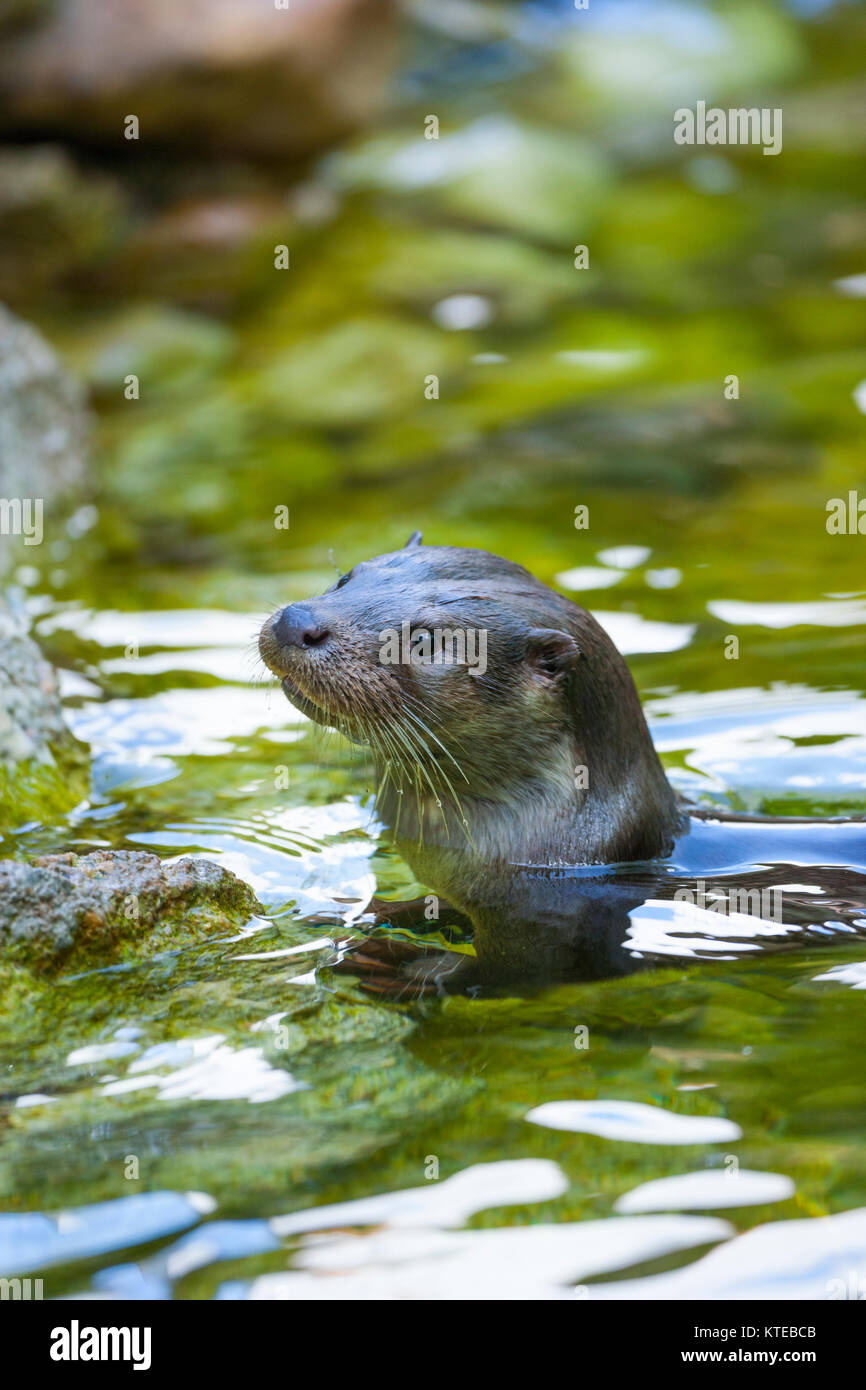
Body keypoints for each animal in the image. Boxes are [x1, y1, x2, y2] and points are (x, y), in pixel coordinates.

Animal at [259, 534, 866, 995]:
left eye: (428, 641)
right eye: (348, 578)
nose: (298, 620)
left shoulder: (533, 919)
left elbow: (508, 974)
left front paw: (401, 968)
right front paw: (357, 913)